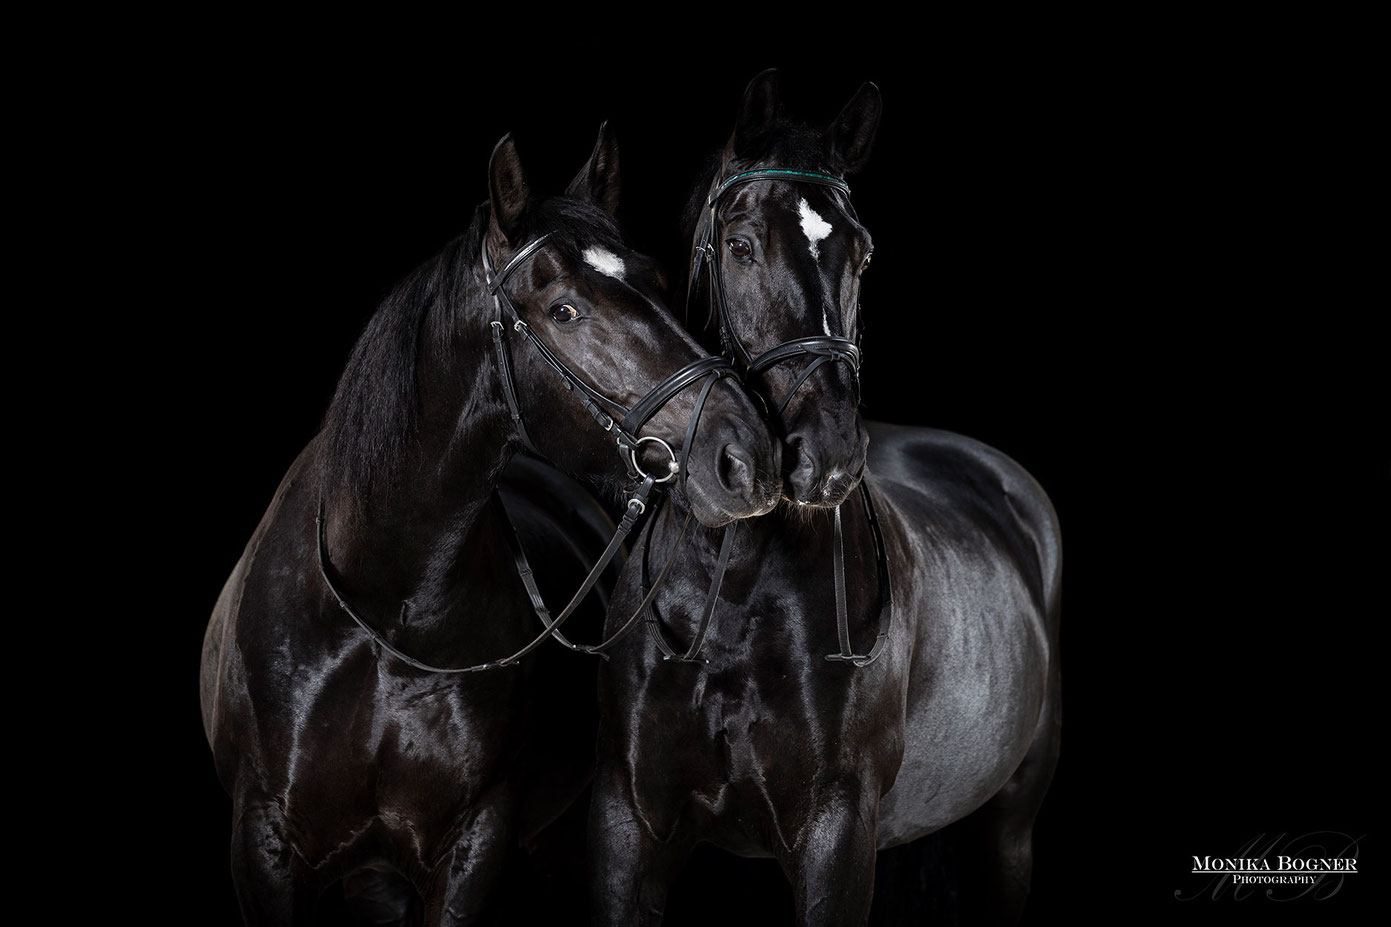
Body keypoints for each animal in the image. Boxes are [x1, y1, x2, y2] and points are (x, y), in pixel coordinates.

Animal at [198, 126, 783, 925]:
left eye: (659, 281)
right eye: (564, 310)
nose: (745, 453)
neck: (384, 614)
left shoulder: (473, 843)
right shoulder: (263, 846)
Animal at [587, 71, 1062, 926]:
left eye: (862, 251)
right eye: (740, 245)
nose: (827, 453)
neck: (733, 585)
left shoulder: (835, 833)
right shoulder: (628, 822)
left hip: (1006, 829)